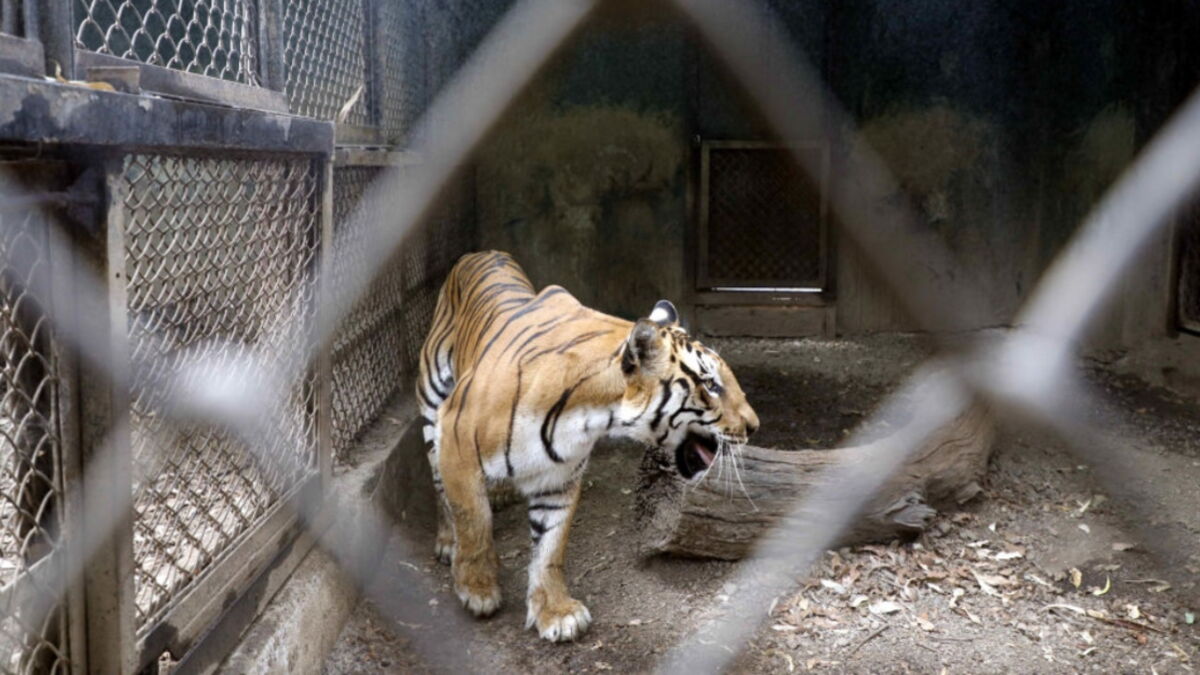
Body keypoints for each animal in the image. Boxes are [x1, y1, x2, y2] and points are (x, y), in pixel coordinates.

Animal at [416, 250, 758, 642]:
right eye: (711, 385)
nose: (754, 426)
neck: (593, 412)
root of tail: (482, 252)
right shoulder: (458, 440)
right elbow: (474, 519)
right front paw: (478, 589)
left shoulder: (557, 476)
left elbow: (550, 547)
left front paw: (555, 612)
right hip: (432, 405)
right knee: (440, 486)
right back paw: (447, 542)